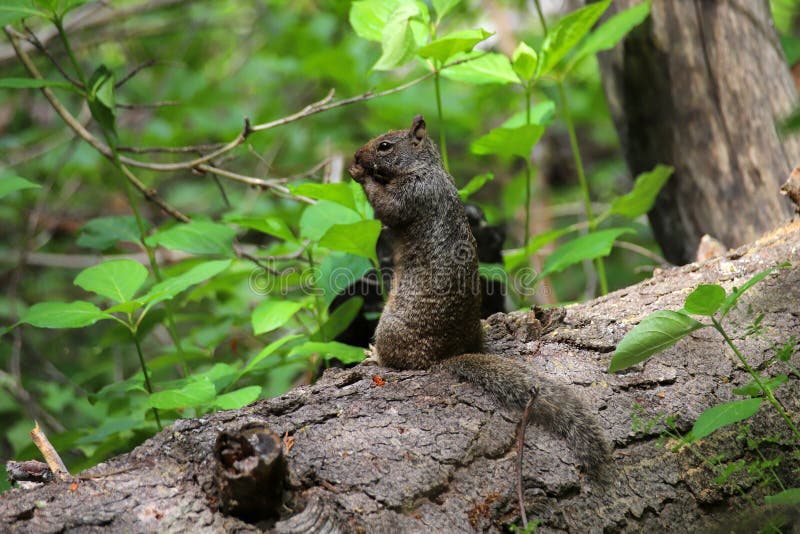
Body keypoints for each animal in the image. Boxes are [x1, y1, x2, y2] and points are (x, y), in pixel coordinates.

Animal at [348, 115, 611, 474]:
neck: (427, 167)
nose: (358, 156)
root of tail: (444, 356)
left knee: (395, 360)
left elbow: (386, 207)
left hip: (390, 327)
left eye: (385, 145)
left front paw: (360, 174)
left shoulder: (414, 194)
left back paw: (374, 354)